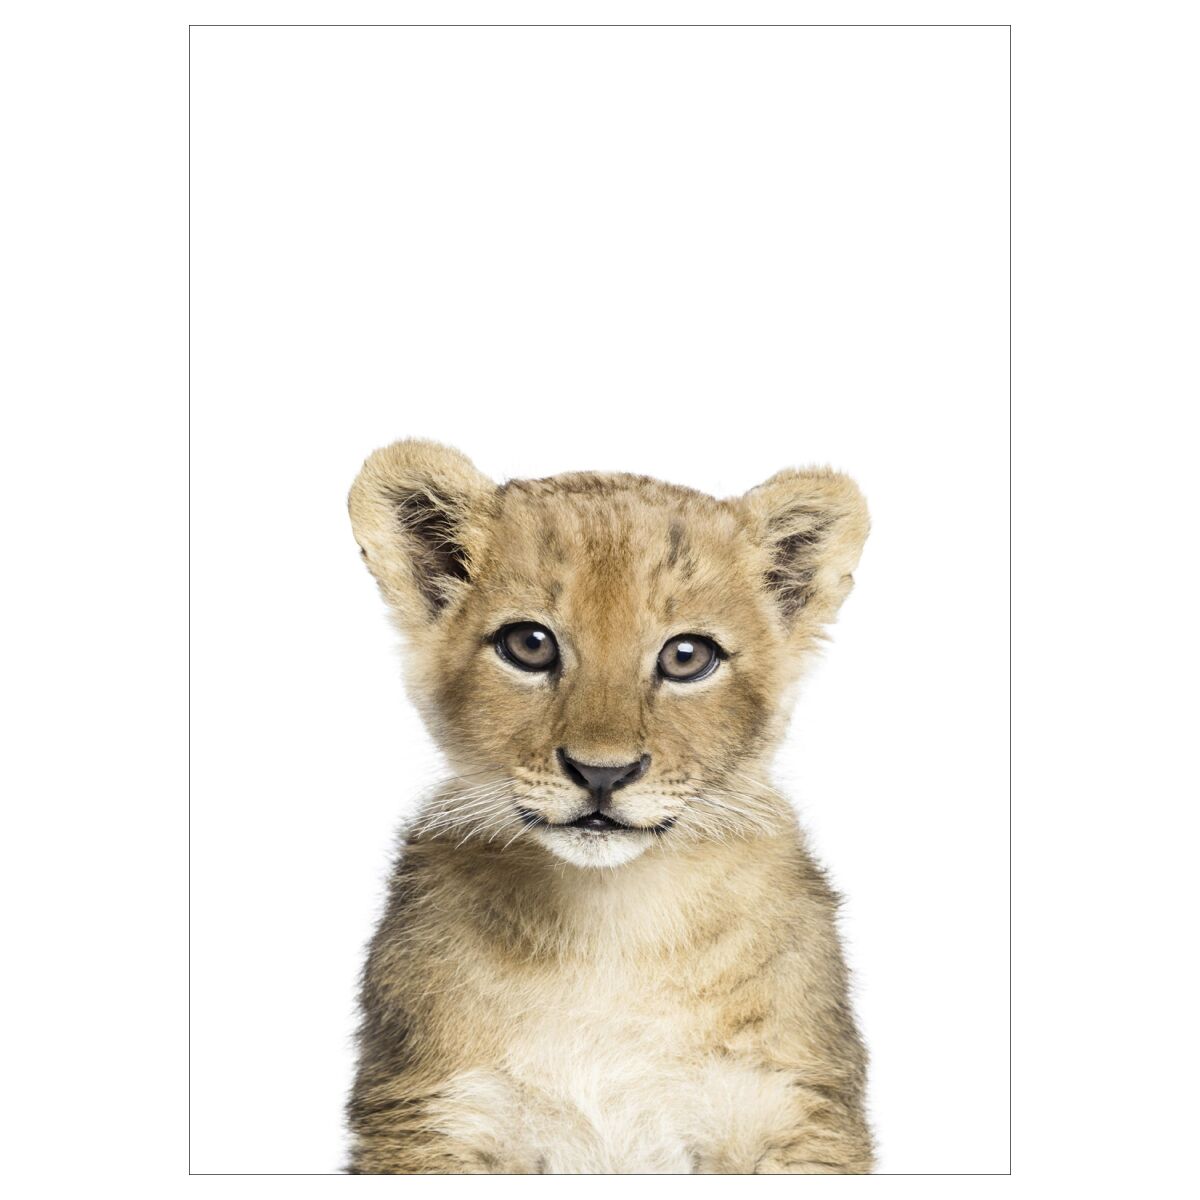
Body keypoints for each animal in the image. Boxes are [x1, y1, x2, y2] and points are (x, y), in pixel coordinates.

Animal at [344, 438, 874, 1173]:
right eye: (529, 645)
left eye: (687, 656)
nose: (602, 773)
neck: (611, 925)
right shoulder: (432, 1115)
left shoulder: (794, 1110)